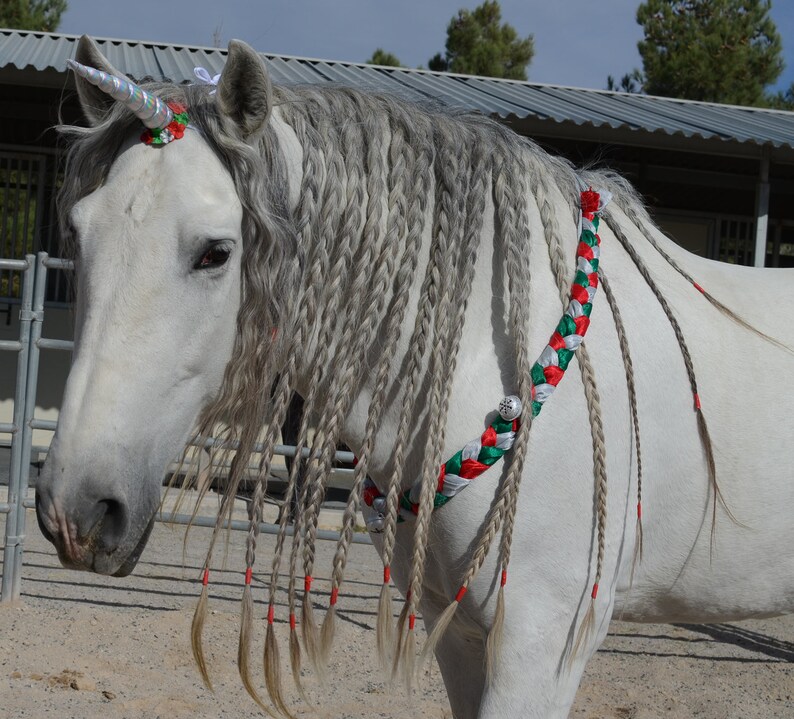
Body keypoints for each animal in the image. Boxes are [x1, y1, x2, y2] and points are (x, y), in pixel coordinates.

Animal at [34, 35, 794, 718]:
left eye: (215, 252)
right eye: (78, 233)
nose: (77, 511)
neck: (492, 361)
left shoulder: (541, 646)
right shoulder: (457, 631)